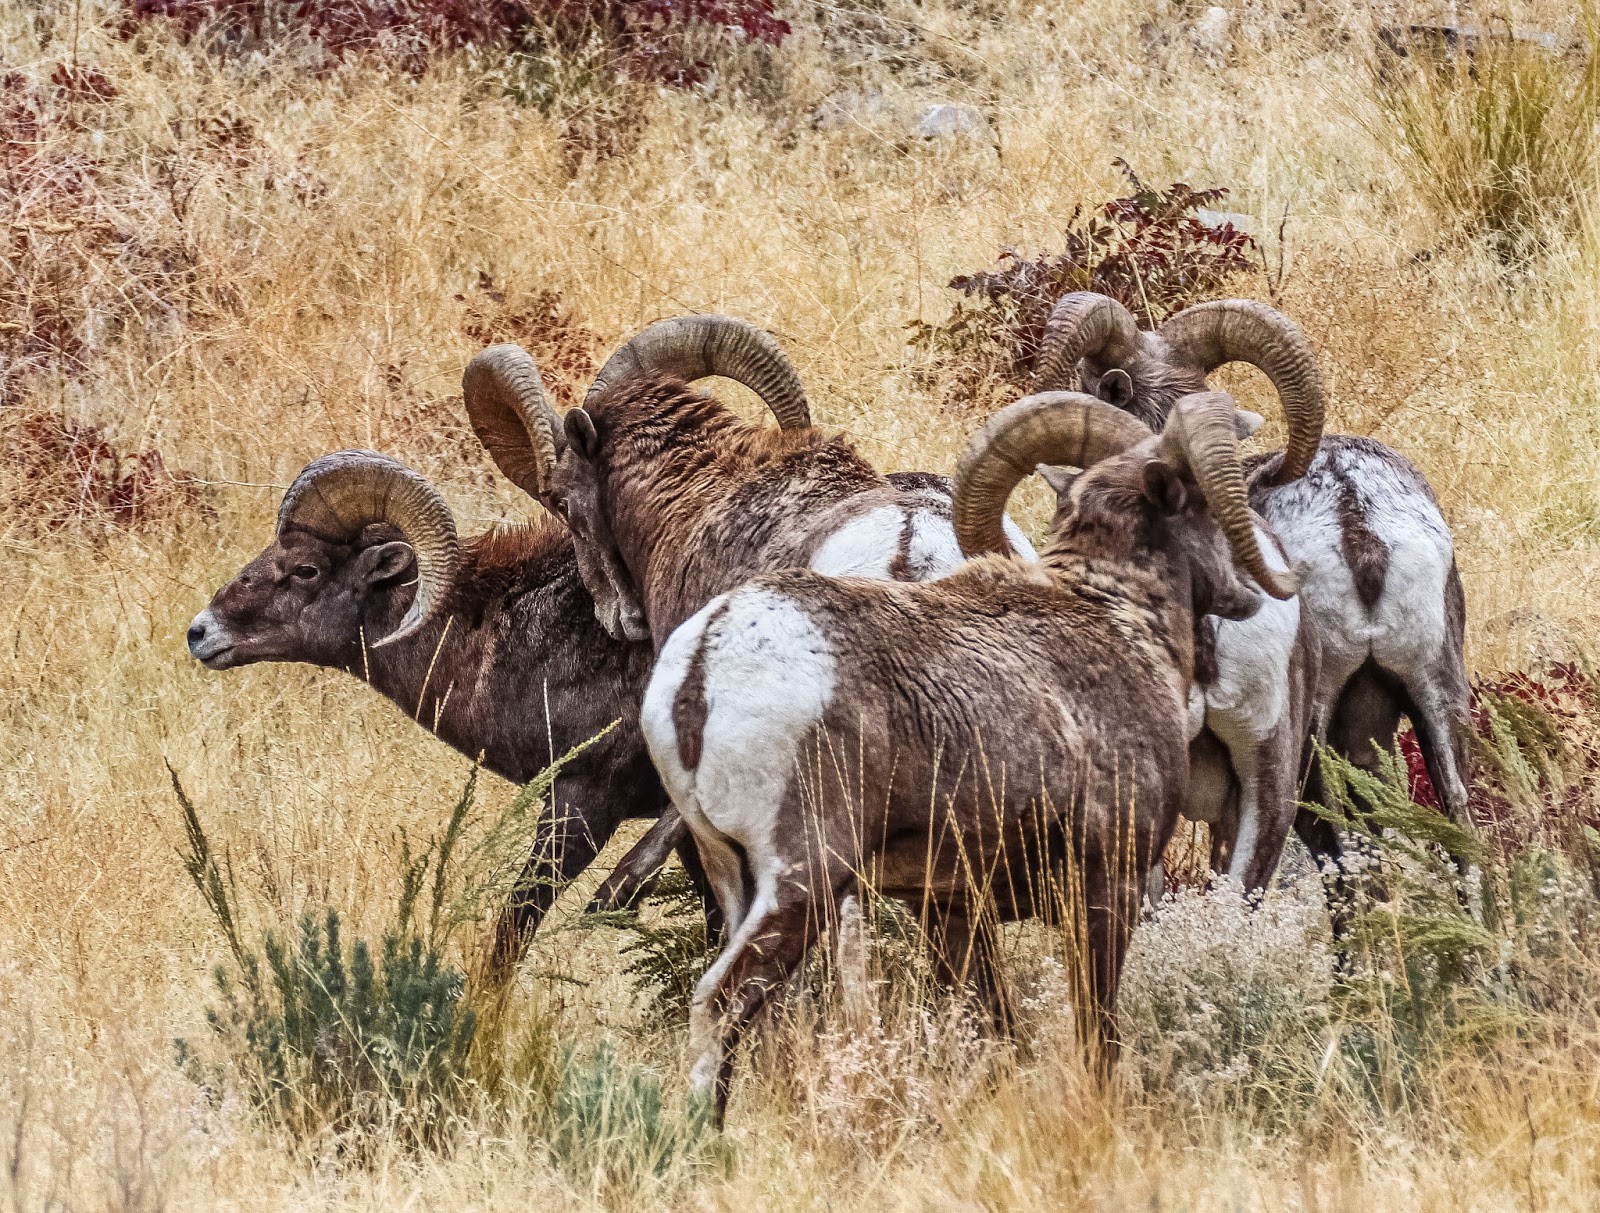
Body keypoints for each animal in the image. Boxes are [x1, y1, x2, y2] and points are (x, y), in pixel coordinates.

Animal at [639, 389, 1303, 1122]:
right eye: (1208, 504)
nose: (1251, 591)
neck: (1121, 619)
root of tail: (704, 664)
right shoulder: (1109, 883)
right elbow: (1096, 1031)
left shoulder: (951, 907)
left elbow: (993, 1023)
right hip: (801, 882)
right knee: (721, 1001)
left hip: (732, 877)